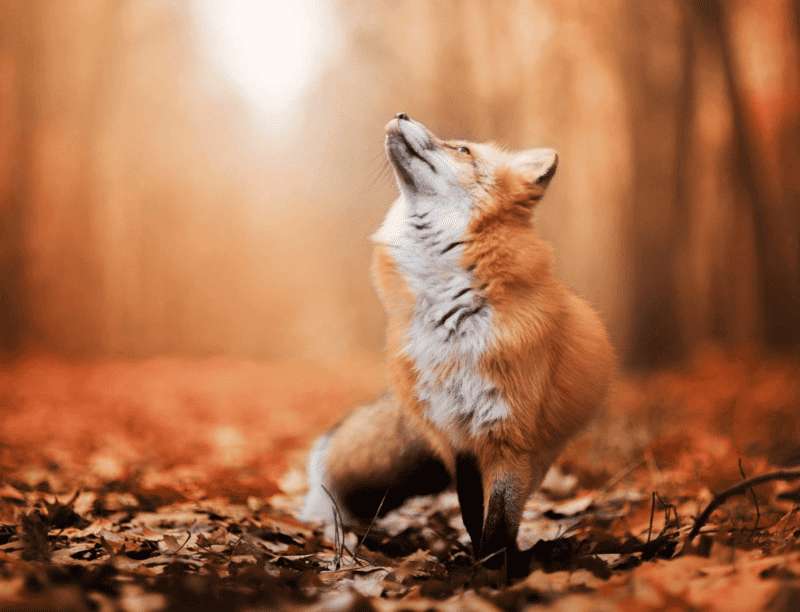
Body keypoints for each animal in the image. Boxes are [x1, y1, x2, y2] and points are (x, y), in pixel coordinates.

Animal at [301, 113, 614, 568]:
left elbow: (499, 522)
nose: (401, 115)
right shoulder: (454, 435)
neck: (451, 322)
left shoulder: (508, 434)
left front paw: (493, 571)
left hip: (539, 451)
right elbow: (471, 513)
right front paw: (477, 565)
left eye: (462, 150)